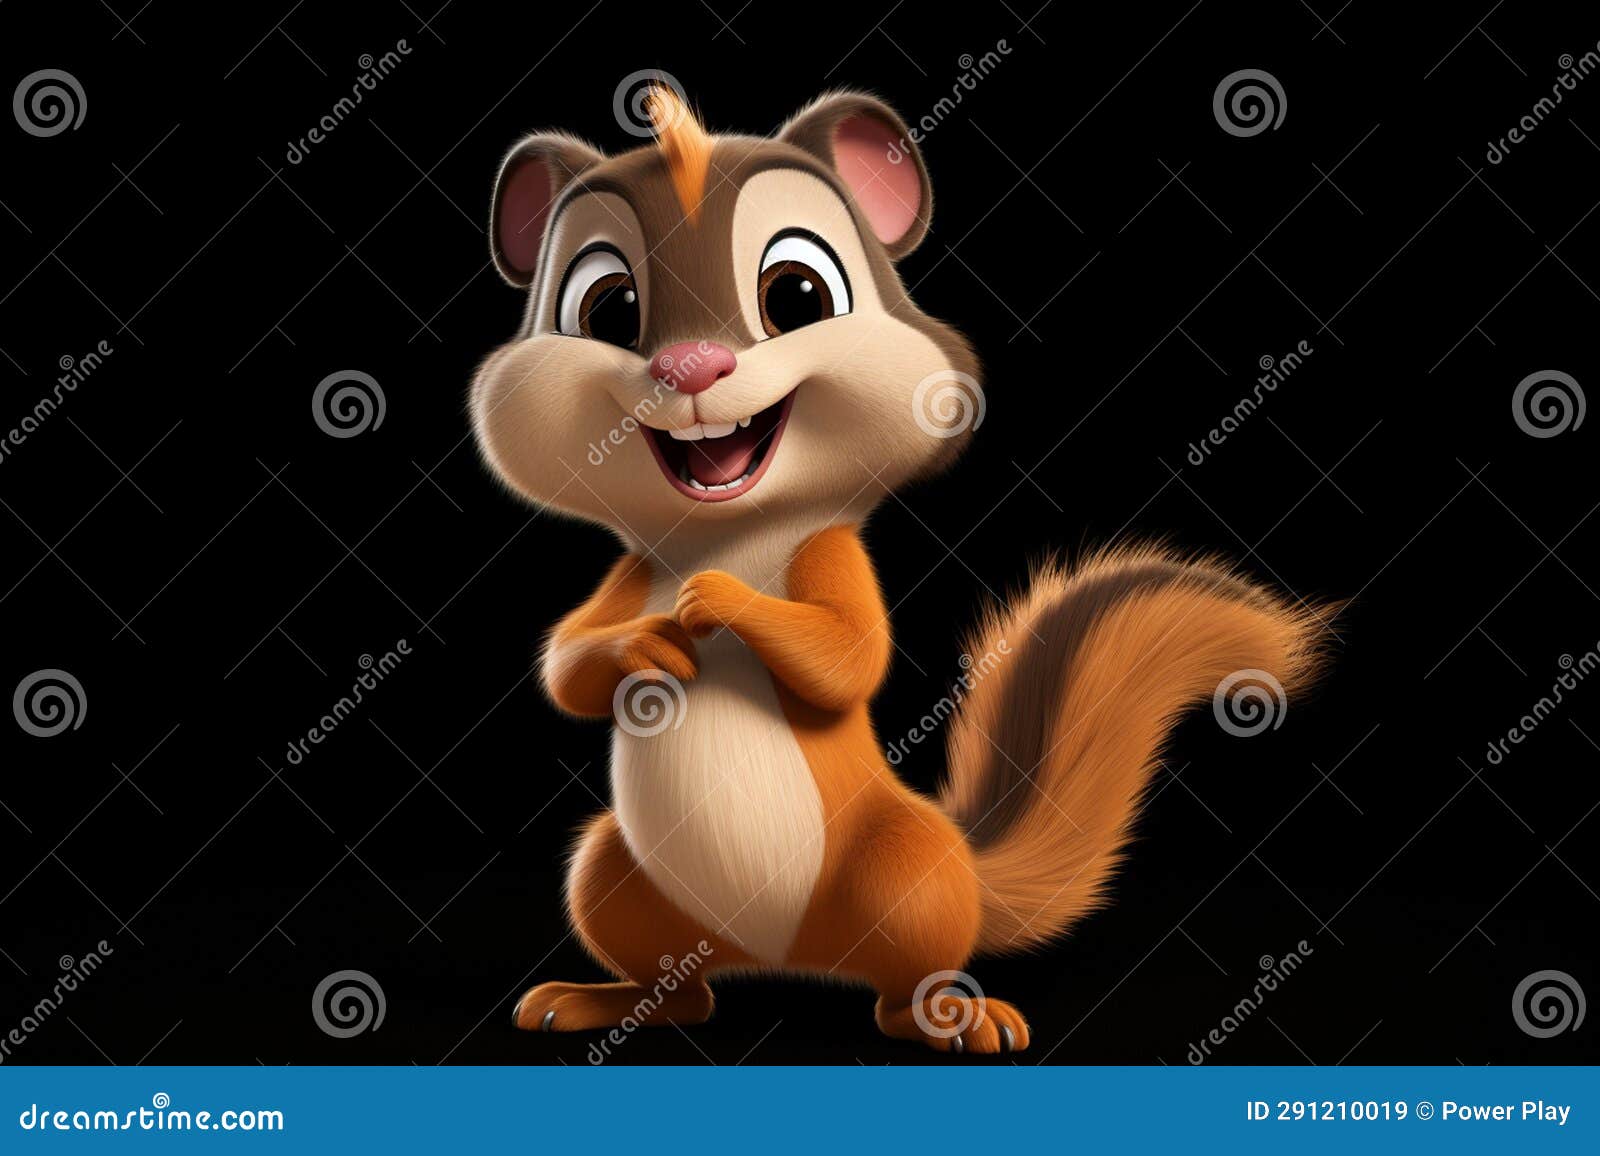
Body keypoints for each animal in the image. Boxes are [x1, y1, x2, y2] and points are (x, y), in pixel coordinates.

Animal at [471, 85, 1330, 1054]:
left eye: (798, 292)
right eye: (606, 307)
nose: (689, 366)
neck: (727, 532)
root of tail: (780, 958)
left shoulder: (832, 557)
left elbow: (846, 657)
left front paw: (714, 600)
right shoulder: (629, 572)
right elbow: (567, 663)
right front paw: (647, 643)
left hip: (900, 872)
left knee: (899, 977)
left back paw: (949, 1014)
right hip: (611, 870)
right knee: (681, 990)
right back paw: (606, 1001)